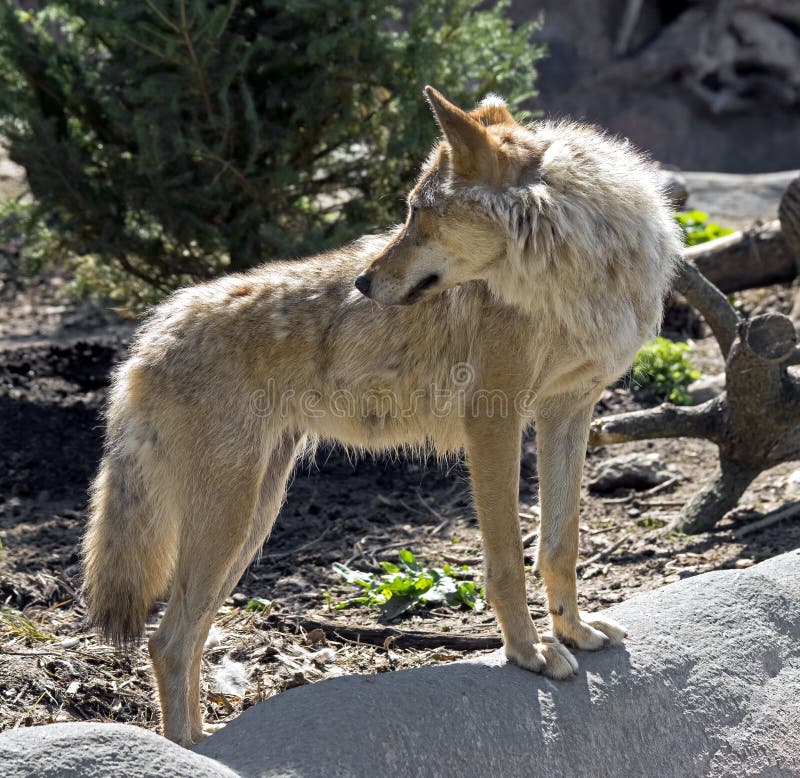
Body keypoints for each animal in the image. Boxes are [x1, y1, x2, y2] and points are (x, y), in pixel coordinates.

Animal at [82, 86, 682, 745]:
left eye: (419, 216)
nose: (363, 283)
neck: (580, 275)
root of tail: (151, 334)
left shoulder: (567, 412)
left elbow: (559, 544)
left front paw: (574, 633)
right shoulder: (492, 420)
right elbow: (505, 561)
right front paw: (529, 654)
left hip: (252, 519)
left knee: (184, 639)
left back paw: (200, 742)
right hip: (231, 519)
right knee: (166, 642)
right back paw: (192, 751)